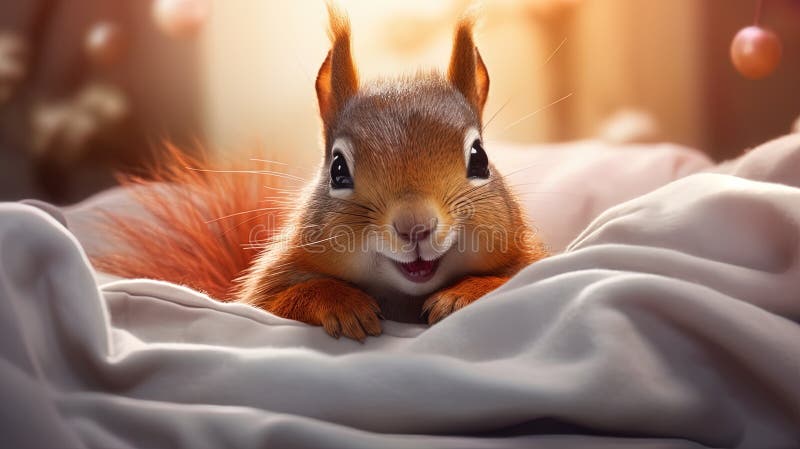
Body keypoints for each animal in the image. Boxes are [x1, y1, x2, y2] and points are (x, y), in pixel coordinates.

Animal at [91, 7, 547, 341]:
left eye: (479, 158)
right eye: (338, 169)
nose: (415, 227)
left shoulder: (530, 258)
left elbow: (518, 276)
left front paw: (463, 295)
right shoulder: (265, 291)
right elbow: (275, 303)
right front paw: (341, 304)